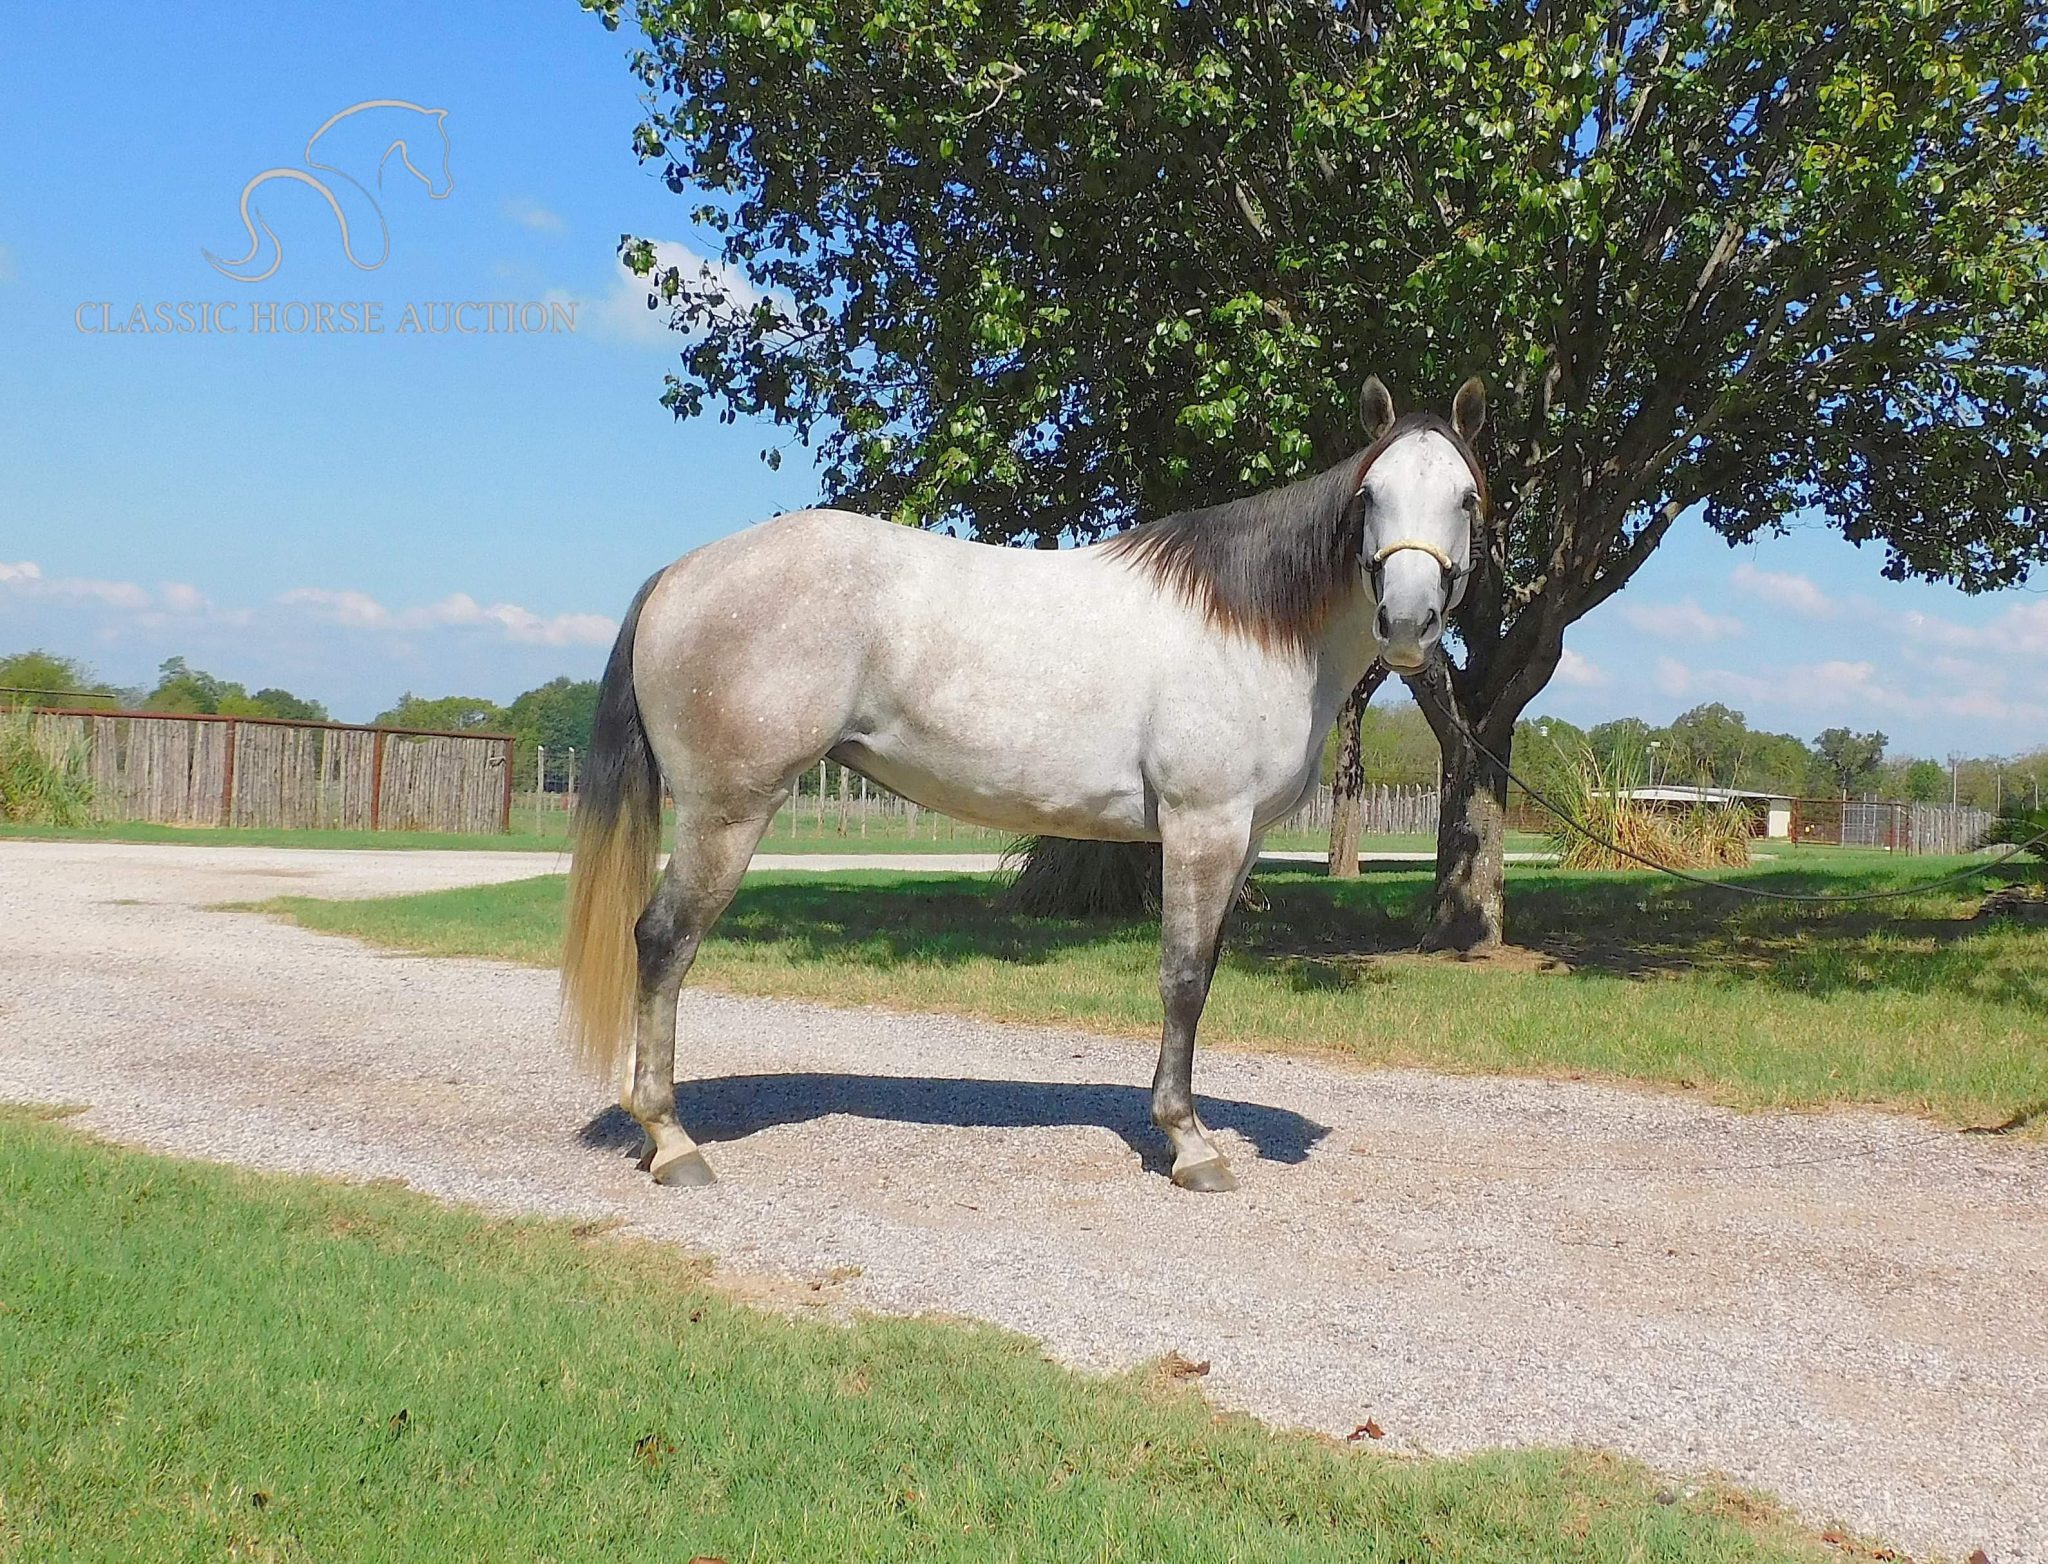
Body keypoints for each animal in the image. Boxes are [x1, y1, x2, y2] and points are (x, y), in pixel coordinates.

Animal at [562, 375, 1487, 1192]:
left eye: (1468, 500)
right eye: (1370, 497)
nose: (1409, 625)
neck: (1252, 624)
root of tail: (680, 574)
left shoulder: (1244, 837)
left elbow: (1205, 973)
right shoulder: (1202, 828)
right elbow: (1183, 978)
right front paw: (1189, 1146)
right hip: (726, 813)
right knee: (664, 941)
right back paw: (672, 1141)